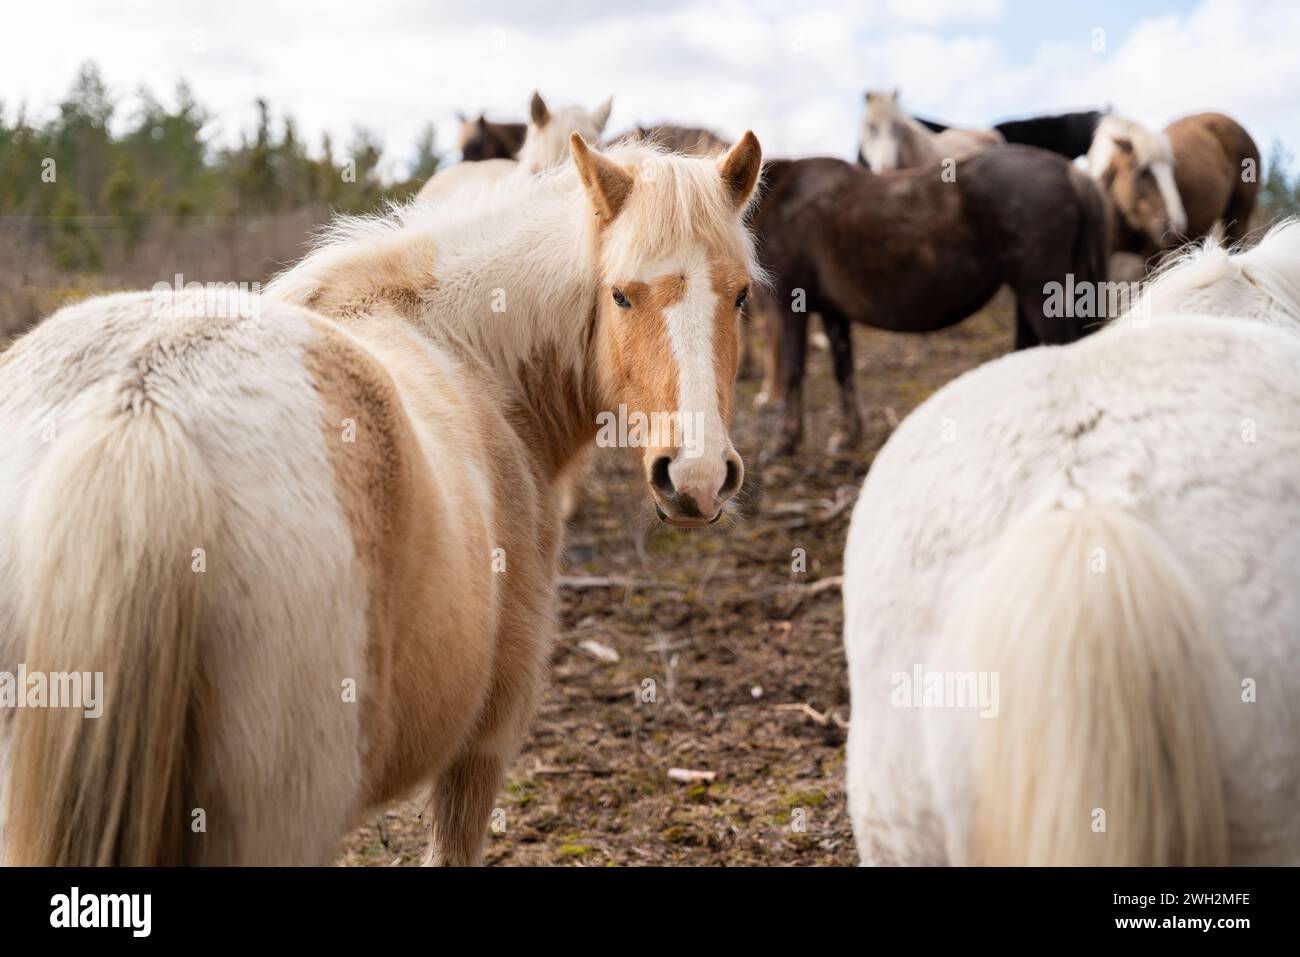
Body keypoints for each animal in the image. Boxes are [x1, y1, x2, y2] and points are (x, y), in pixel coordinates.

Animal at [0, 131, 765, 865]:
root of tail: (143, 402)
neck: (471, 353)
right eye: (621, 295)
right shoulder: (482, 747)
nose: (696, 476)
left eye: (740, 296)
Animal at [749, 144, 1108, 454]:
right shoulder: (831, 311)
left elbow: (793, 370)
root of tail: (1069, 173)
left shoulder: (792, 306)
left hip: (1038, 294)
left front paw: (784, 441)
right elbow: (843, 370)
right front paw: (847, 436)